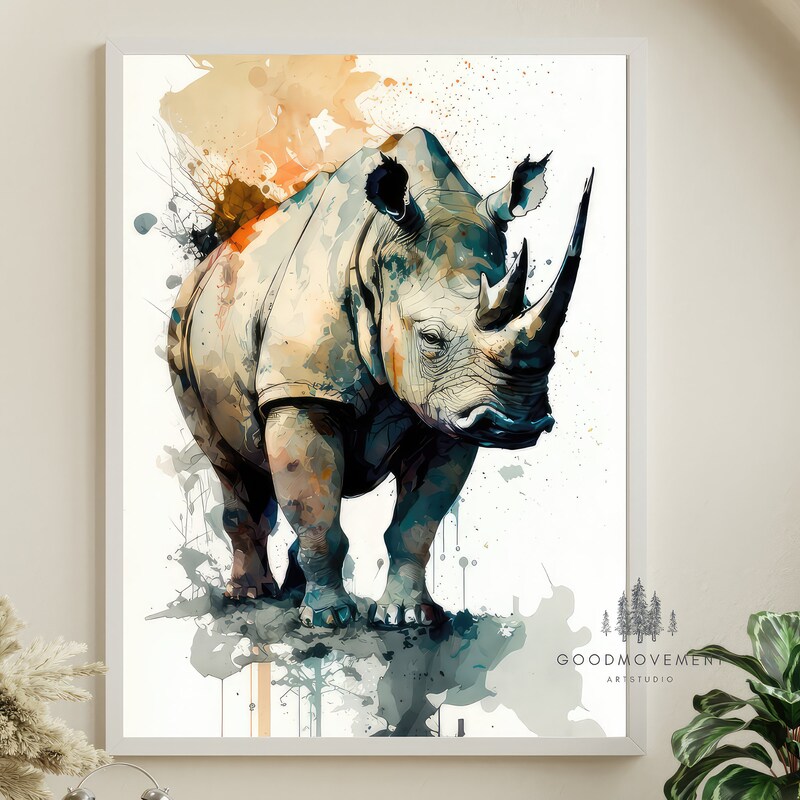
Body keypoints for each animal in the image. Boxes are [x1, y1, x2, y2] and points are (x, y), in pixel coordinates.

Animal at [168, 127, 593, 629]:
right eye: (431, 338)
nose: (518, 424)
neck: (379, 246)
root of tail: (209, 262)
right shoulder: (302, 392)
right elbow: (316, 512)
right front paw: (329, 620)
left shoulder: (447, 412)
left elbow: (416, 523)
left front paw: (410, 617)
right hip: (182, 328)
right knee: (231, 466)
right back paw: (251, 597)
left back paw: (290, 592)